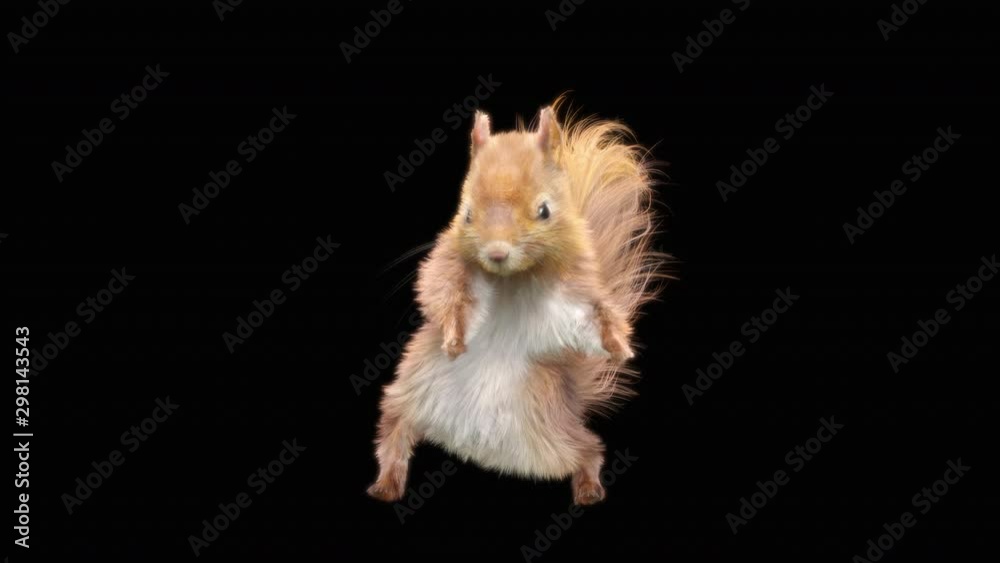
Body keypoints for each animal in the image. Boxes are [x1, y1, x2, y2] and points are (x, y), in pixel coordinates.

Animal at [368, 98, 667, 505]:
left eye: (545, 210)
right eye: (466, 213)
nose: (496, 252)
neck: (512, 280)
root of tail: (473, 446)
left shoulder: (575, 286)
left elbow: (588, 315)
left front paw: (617, 344)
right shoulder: (447, 263)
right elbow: (442, 291)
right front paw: (454, 335)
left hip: (553, 430)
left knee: (589, 449)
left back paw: (589, 488)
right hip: (409, 393)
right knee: (394, 433)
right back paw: (386, 483)